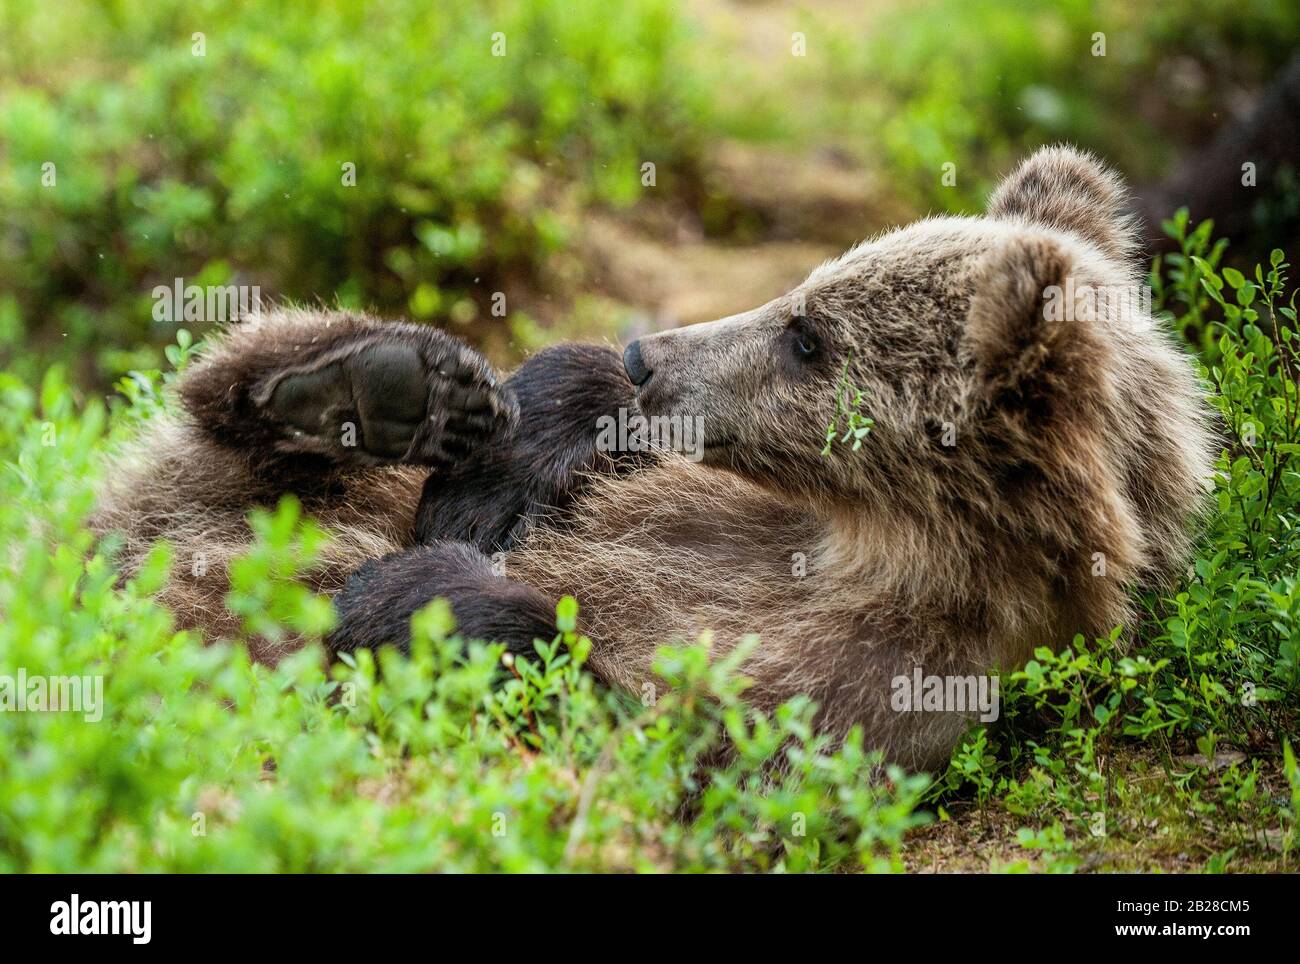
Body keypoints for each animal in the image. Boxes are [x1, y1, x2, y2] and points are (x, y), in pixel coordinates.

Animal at [92, 146, 1216, 770]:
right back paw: (384, 386)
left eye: (809, 338)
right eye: (807, 288)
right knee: (236, 397)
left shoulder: (884, 680)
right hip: (215, 479)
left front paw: (415, 588)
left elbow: (625, 722)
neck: (865, 536)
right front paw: (501, 467)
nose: (651, 356)